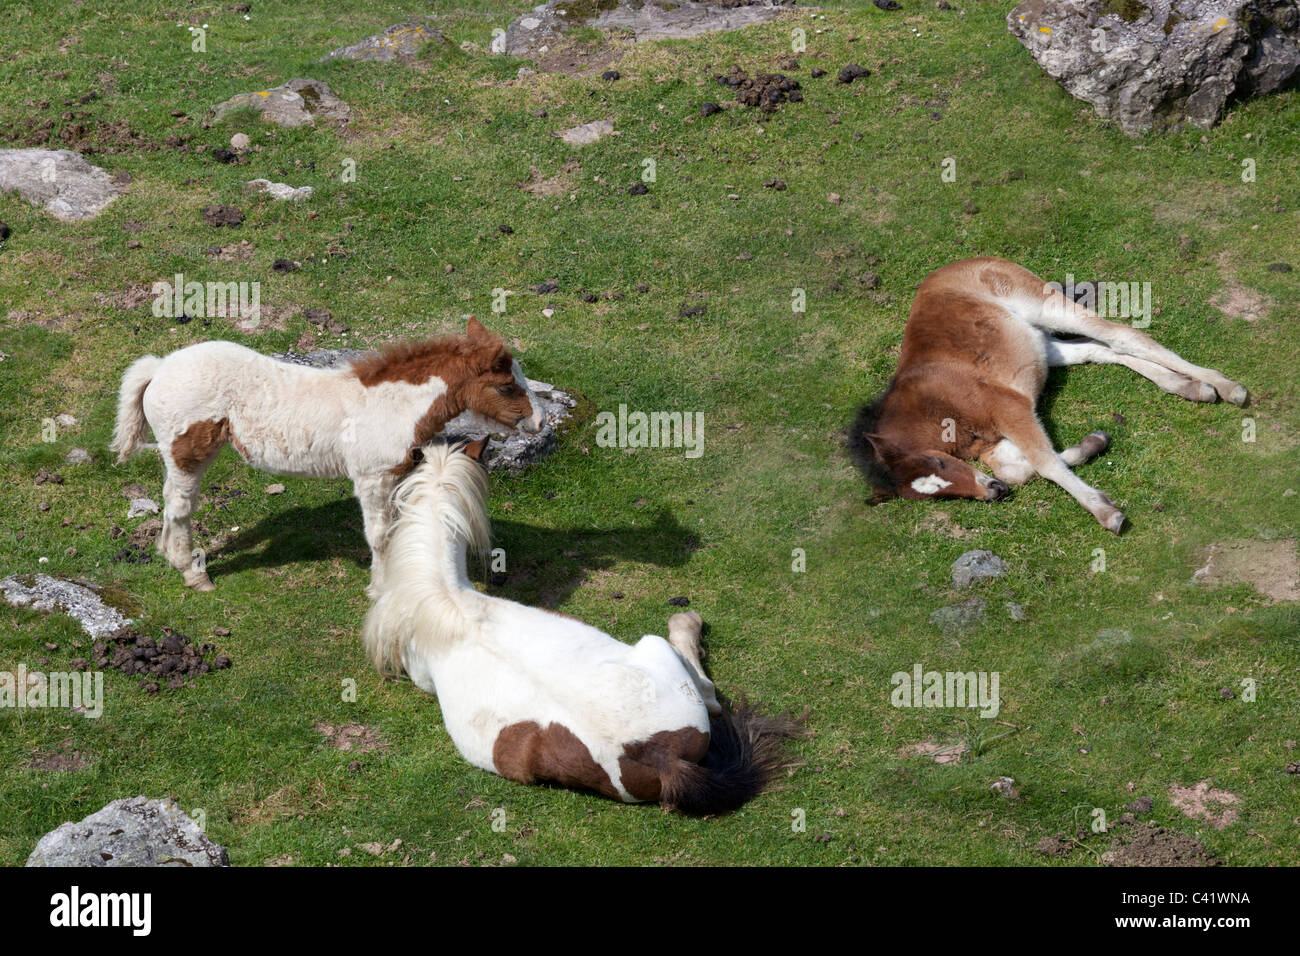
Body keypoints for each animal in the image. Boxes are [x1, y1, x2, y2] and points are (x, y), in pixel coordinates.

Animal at [110, 317, 544, 592]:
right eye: (506, 386)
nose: (539, 422)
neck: (393, 403)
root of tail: (160, 367)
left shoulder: (399, 474)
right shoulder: (373, 477)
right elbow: (379, 535)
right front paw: (379, 589)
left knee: (170, 500)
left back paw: (170, 556)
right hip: (188, 452)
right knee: (180, 505)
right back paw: (193, 573)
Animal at [848, 257, 1249, 533]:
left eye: (940, 464)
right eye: (936, 495)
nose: (993, 492)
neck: (932, 405)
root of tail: (963, 262)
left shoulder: (1009, 407)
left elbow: (1043, 462)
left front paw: (1107, 513)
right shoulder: (993, 443)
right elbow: (1019, 469)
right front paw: (1094, 443)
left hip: (1045, 306)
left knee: (1121, 335)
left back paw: (1227, 387)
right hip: (1041, 344)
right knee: (1100, 350)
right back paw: (1190, 386)